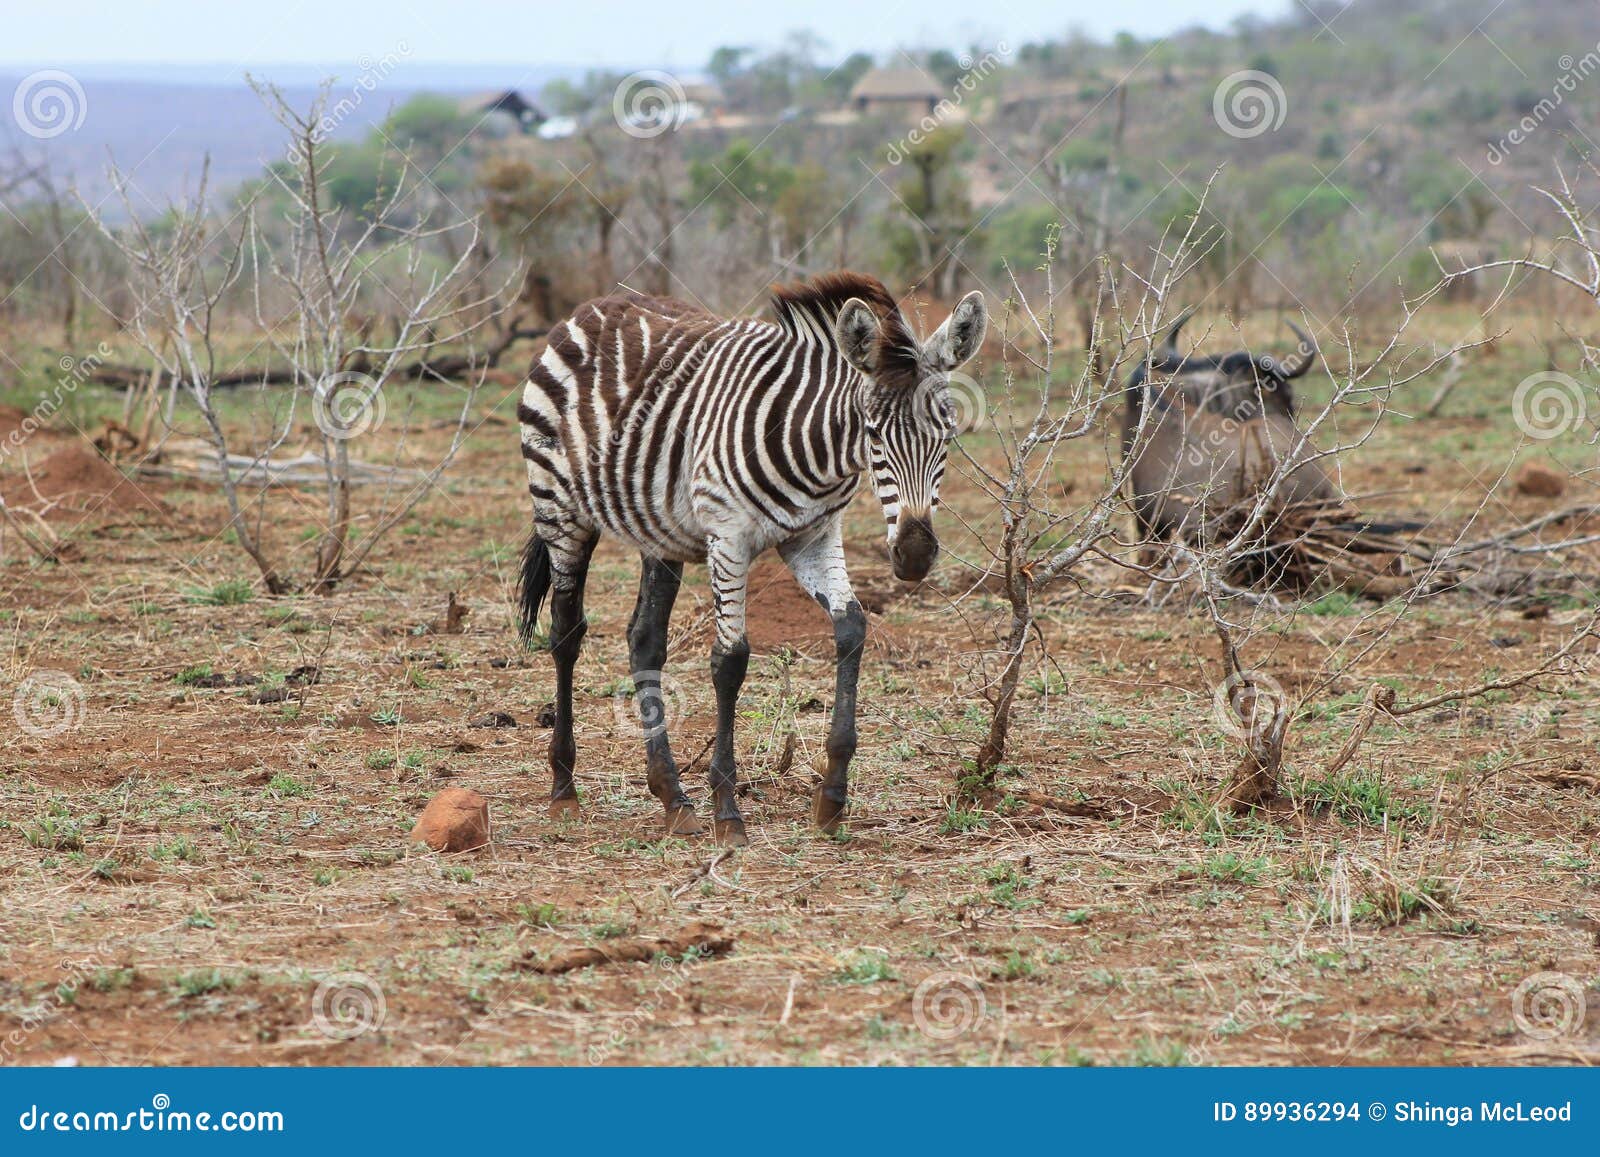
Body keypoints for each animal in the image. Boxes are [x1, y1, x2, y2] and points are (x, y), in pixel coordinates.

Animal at [516, 272, 987, 845]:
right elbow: (731, 660)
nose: (916, 555)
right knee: (565, 631)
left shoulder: (814, 536)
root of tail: (594, 306)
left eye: (948, 436)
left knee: (644, 640)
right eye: (874, 433)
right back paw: (564, 787)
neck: (818, 452)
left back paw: (672, 796)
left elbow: (852, 629)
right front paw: (728, 809)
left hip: (658, 528)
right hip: (560, 506)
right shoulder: (729, 537)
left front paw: (833, 795)